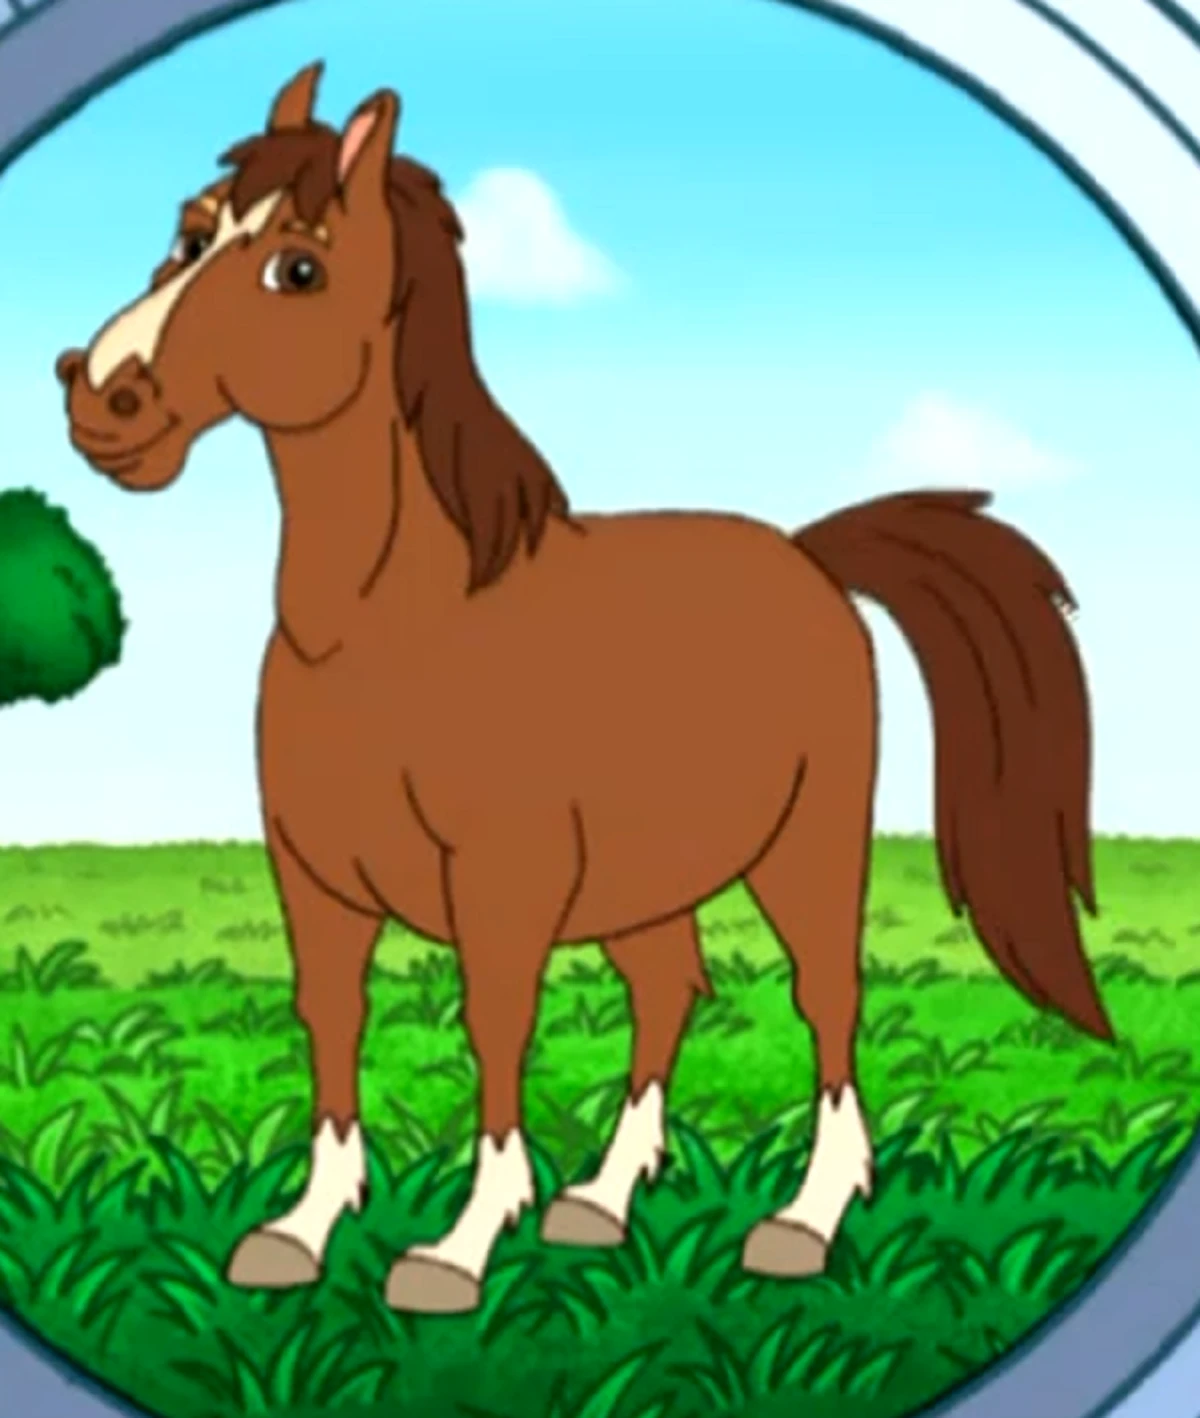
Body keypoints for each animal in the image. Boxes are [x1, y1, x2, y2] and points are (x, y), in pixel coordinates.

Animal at [55, 63, 1112, 1316]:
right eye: (191, 232)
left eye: (298, 269)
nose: (100, 396)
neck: (389, 627)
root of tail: (810, 555)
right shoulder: (313, 879)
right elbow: (333, 1019)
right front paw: (302, 1228)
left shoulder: (501, 885)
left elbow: (497, 1023)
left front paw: (457, 1248)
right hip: (649, 874)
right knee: (669, 988)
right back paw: (602, 1204)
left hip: (804, 848)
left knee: (826, 999)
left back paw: (802, 1221)